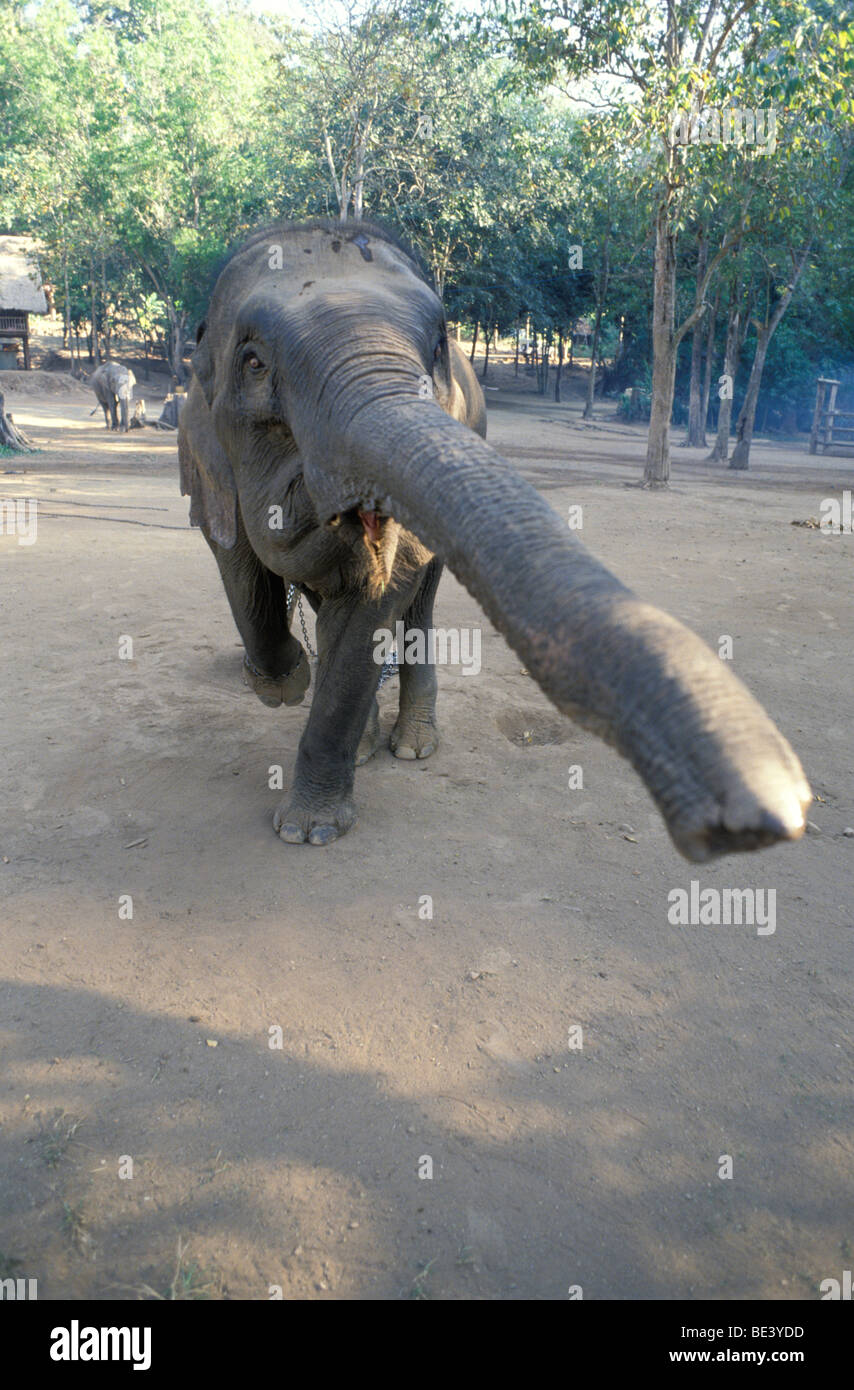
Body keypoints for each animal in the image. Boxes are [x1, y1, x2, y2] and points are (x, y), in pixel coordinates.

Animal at [178, 218, 810, 858]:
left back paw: (411, 745)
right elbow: (241, 571)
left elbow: (369, 609)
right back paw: (364, 738)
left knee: (417, 604)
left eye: (436, 349)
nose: (770, 811)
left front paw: (311, 829)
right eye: (254, 363)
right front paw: (286, 686)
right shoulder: (204, 459)